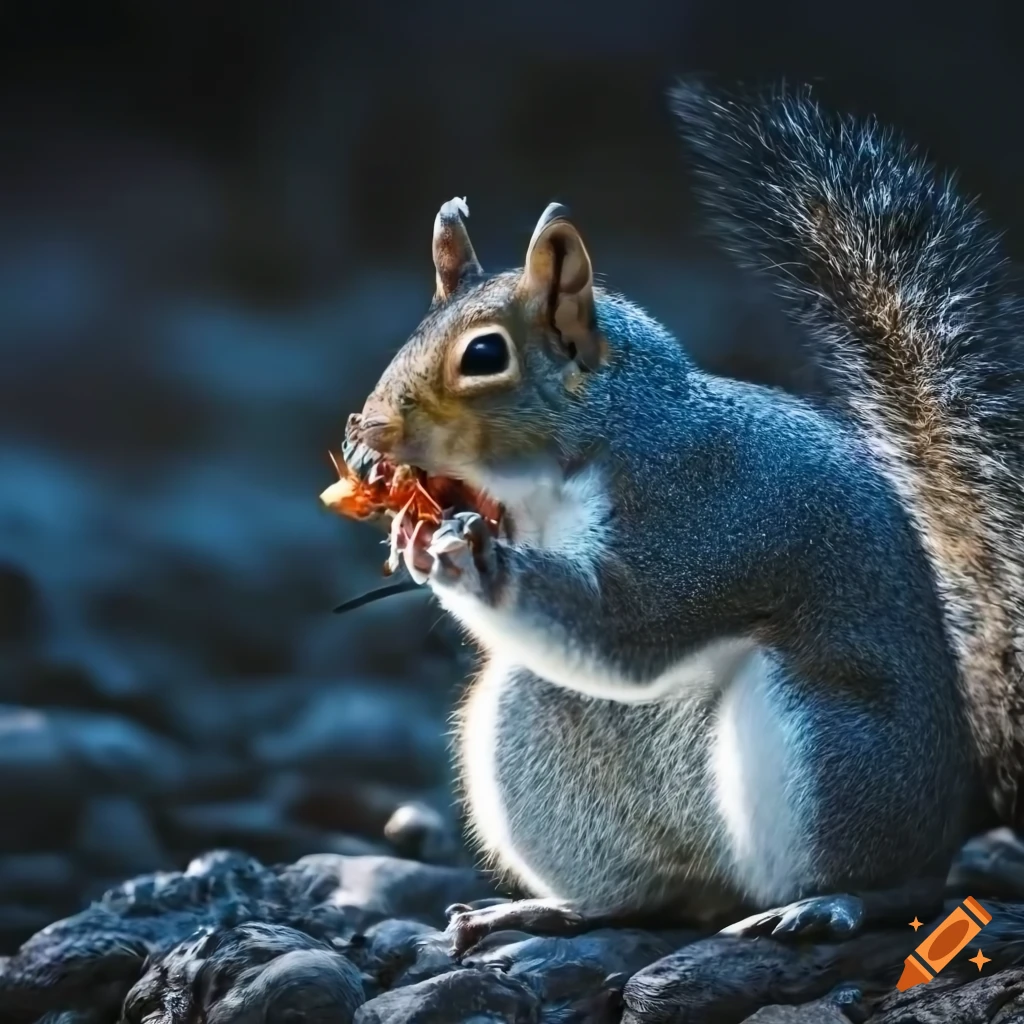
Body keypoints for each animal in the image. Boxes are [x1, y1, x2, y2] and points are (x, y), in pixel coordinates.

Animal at [345, 82, 1024, 954]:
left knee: (904, 882)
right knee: (645, 896)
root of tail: (956, 807)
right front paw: (409, 521)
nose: (372, 431)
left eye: (485, 356)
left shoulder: (705, 509)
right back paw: (557, 907)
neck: (592, 448)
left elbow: (627, 626)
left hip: (832, 754)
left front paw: (465, 557)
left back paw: (831, 903)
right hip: (530, 729)